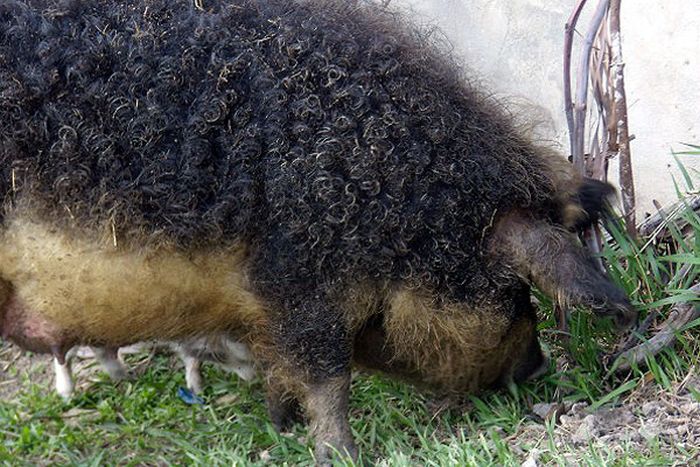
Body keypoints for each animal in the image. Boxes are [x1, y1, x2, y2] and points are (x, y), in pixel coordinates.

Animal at [0, 0, 636, 463]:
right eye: (515, 291)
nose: (539, 368)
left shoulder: (269, 307)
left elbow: (283, 371)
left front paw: (282, 427)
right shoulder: (300, 282)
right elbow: (328, 379)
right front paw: (341, 454)